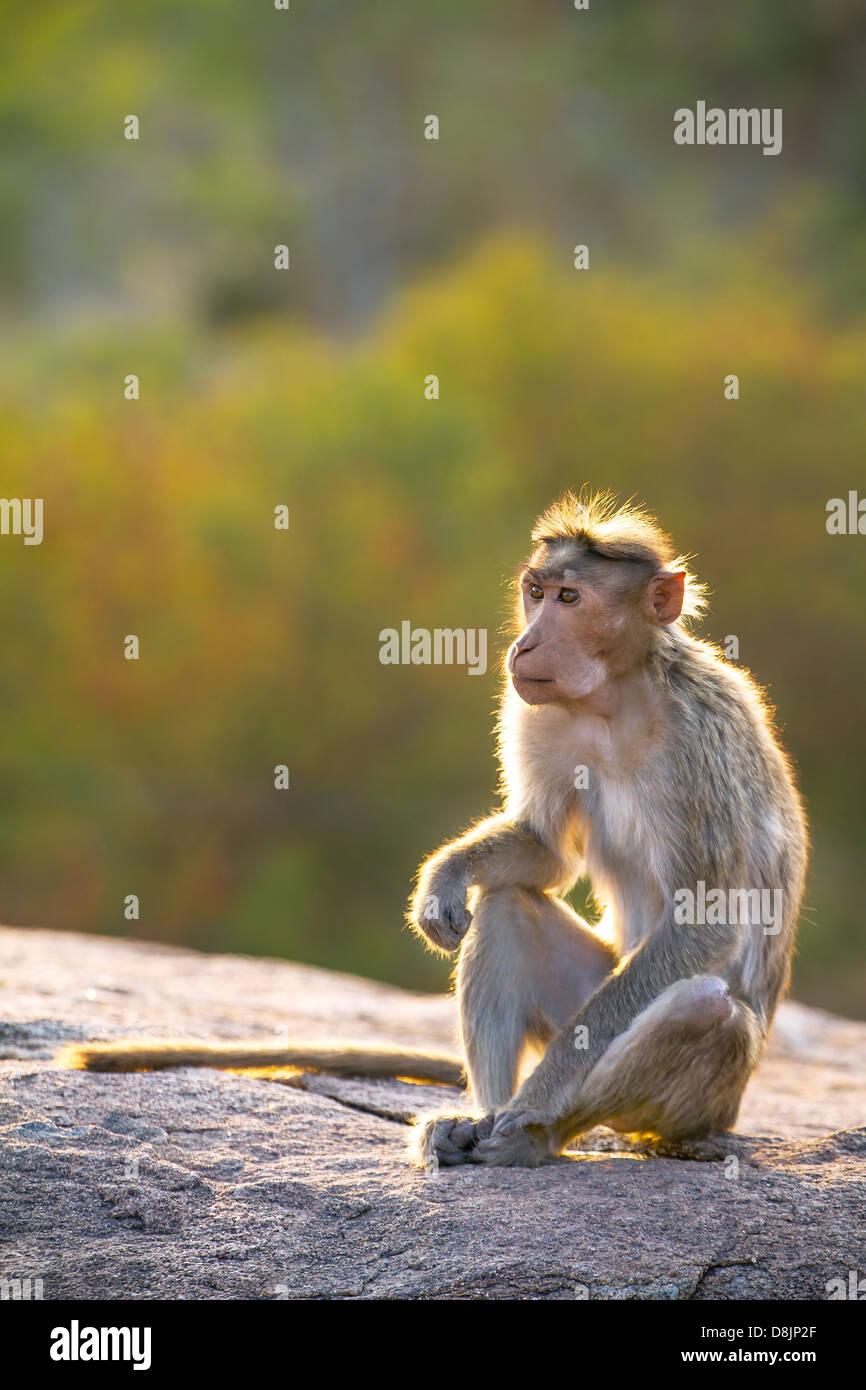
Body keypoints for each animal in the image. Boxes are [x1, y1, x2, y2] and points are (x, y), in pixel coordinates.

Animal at [57, 490, 806, 1176]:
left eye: (571, 598)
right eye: (536, 592)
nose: (526, 642)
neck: (614, 697)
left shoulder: (700, 737)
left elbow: (704, 919)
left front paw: (539, 1100)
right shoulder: (539, 714)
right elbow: (542, 852)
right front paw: (446, 877)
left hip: (704, 1100)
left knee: (703, 1010)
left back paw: (535, 1132)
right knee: (506, 911)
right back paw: (476, 1116)